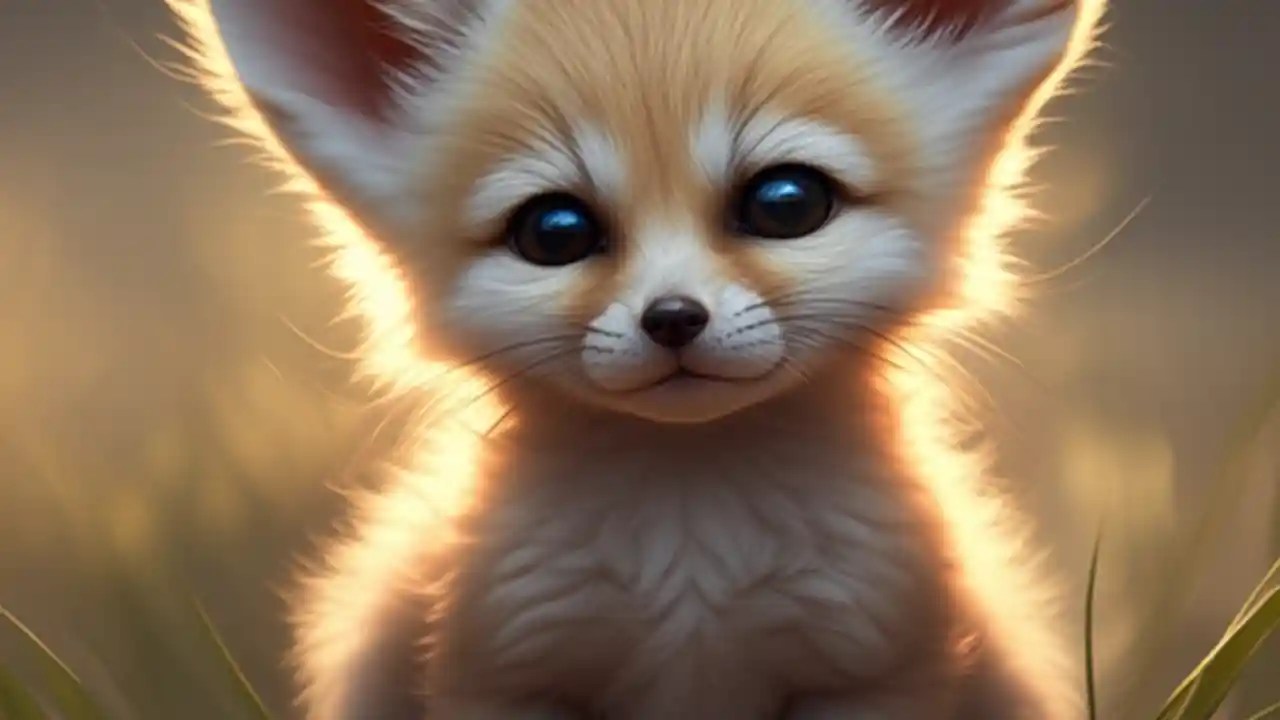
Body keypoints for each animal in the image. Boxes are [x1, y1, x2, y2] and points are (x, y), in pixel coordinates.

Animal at [168, 0, 1106, 718]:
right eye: (554, 231)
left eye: (787, 202)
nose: (673, 318)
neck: (692, 554)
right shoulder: (505, 671)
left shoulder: (873, 664)